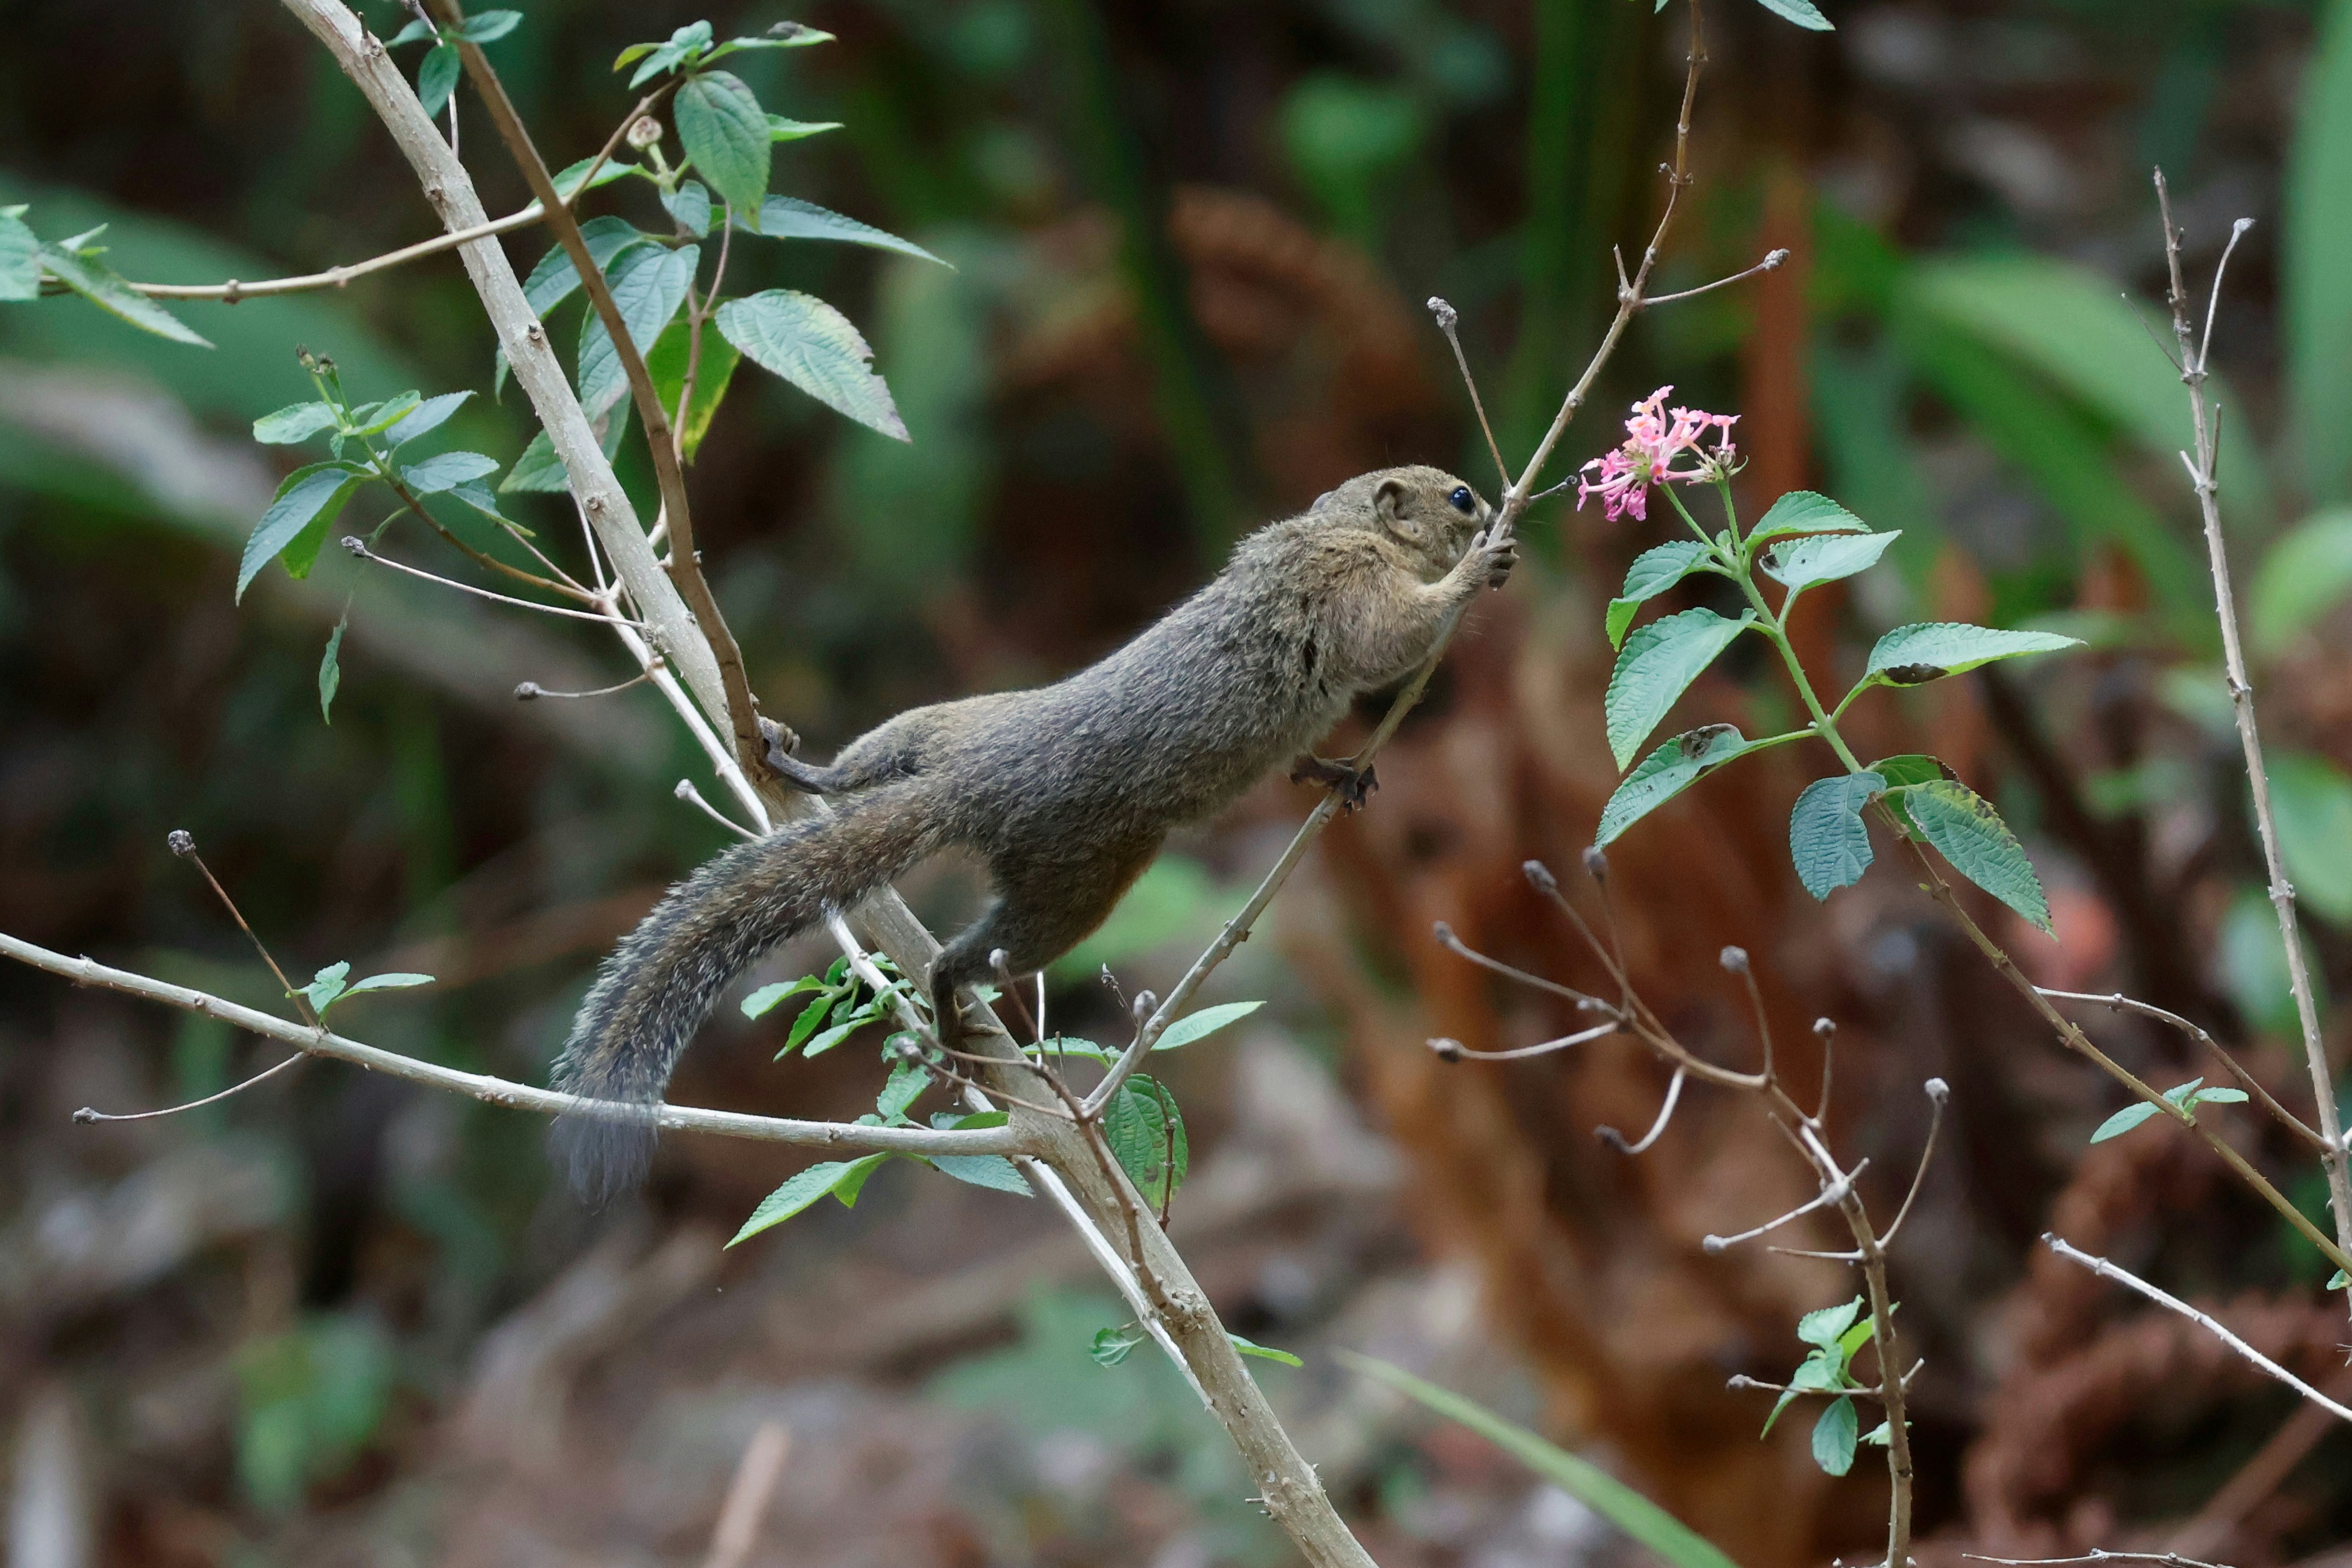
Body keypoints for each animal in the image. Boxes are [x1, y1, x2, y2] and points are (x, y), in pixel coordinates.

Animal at [548, 464, 1514, 1202]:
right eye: (1458, 495)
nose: (1488, 502)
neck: (1341, 528)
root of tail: (964, 787)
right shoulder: (1348, 589)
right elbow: (1393, 640)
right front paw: (1473, 574)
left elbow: (1302, 758)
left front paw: (1338, 774)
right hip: (1071, 888)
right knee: (957, 958)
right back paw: (949, 1020)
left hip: (937, 730)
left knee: (865, 768)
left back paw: (798, 770)